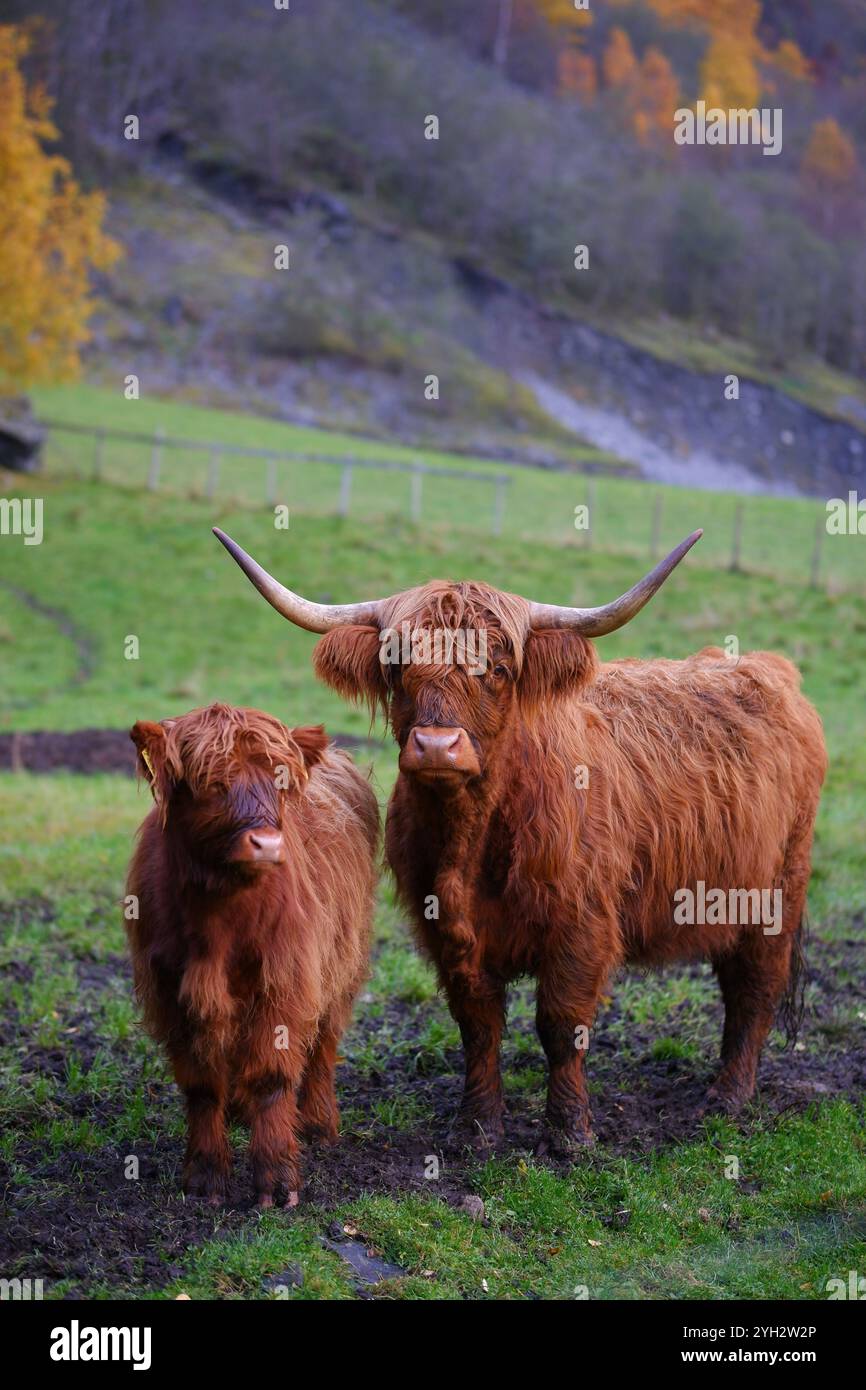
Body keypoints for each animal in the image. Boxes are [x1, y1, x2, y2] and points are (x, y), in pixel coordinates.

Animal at [125, 702, 379, 1205]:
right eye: (210, 782)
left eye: (279, 781)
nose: (267, 844)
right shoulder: (171, 988)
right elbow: (201, 1084)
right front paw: (205, 1174)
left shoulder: (285, 981)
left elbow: (272, 1076)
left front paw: (277, 1178)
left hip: (343, 963)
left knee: (323, 1044)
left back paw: (318, 1123)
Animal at [213, 528, 827, 1157]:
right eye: (398, 665)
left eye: (498, 668)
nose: (436, 746)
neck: (471, 841)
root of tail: (766, 668)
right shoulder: (446, 932)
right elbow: (478, 1025)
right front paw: (478, 1125)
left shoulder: (582, 926)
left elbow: (561, 1025)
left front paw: (570, 1132)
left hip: (776, 893)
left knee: (754, 990)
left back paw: (728, 1097)